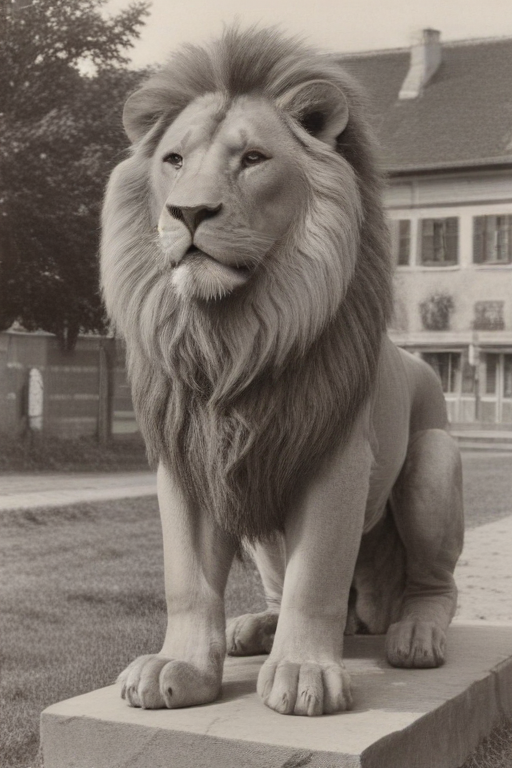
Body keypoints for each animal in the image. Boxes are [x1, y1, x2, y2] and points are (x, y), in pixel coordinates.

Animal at [100, 27, 464, 717]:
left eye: (253, 159)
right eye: (174, 160)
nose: (189, 213)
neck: (232, 338)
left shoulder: (336, 458)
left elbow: (315, 575)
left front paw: (301, 673)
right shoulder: (190, 461)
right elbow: (188, 581)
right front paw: (179, 667)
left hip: (433, 464)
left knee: (433, 585)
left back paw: (416, 633)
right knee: (281, 591)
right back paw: (254, 628)